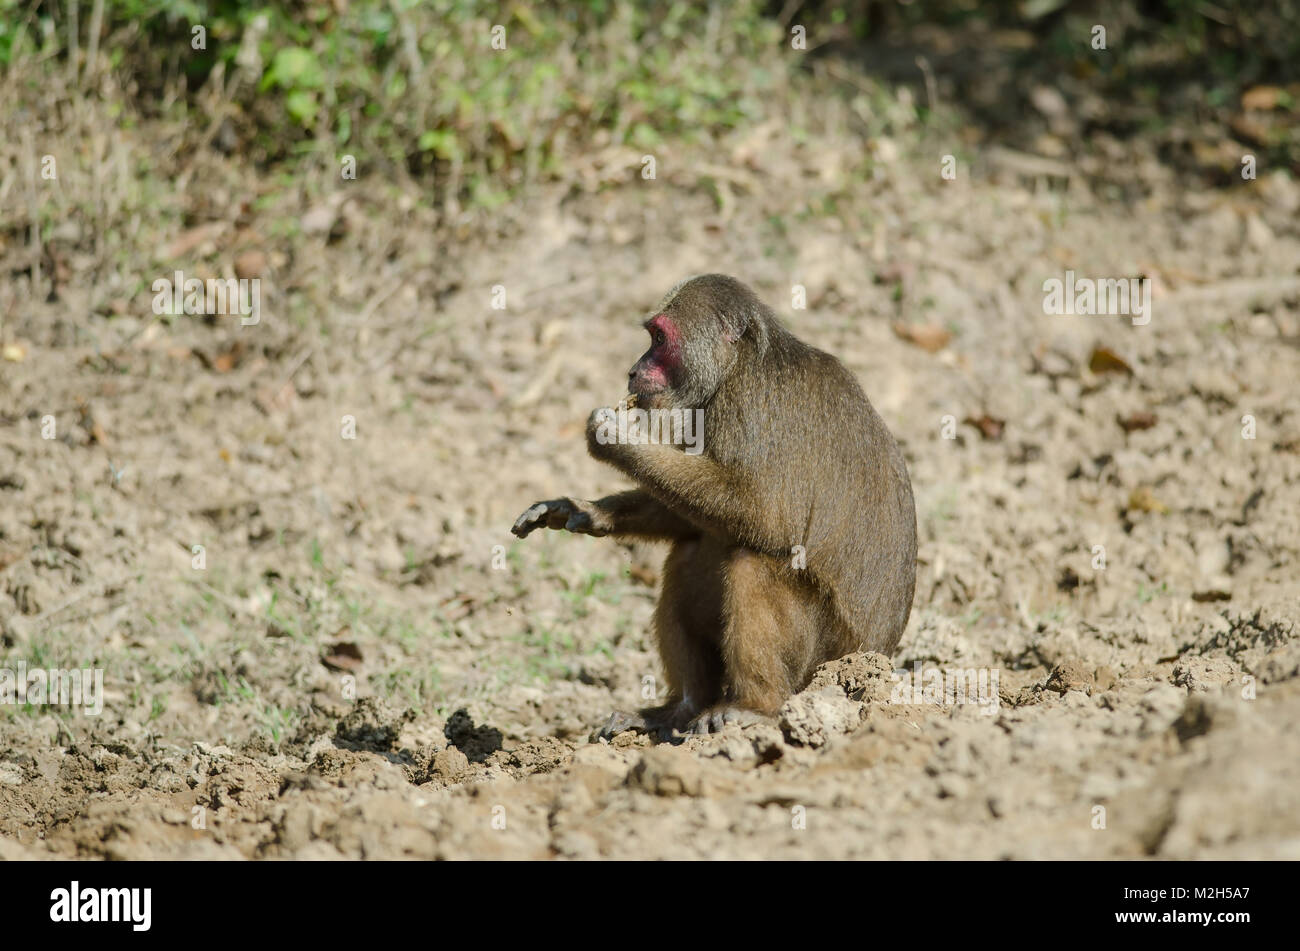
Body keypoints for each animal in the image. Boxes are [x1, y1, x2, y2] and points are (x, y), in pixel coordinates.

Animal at [512, 274, 916, 738]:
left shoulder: (750, 406)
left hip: (823, 662)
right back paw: (682, 708)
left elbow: (765, 518)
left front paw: (615, 439)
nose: (633, 370)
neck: (738, 366)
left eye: (659, 339)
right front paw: (587, 511)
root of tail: (874, 661)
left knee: (753, 561)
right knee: (688, 554)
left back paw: (757, 706)